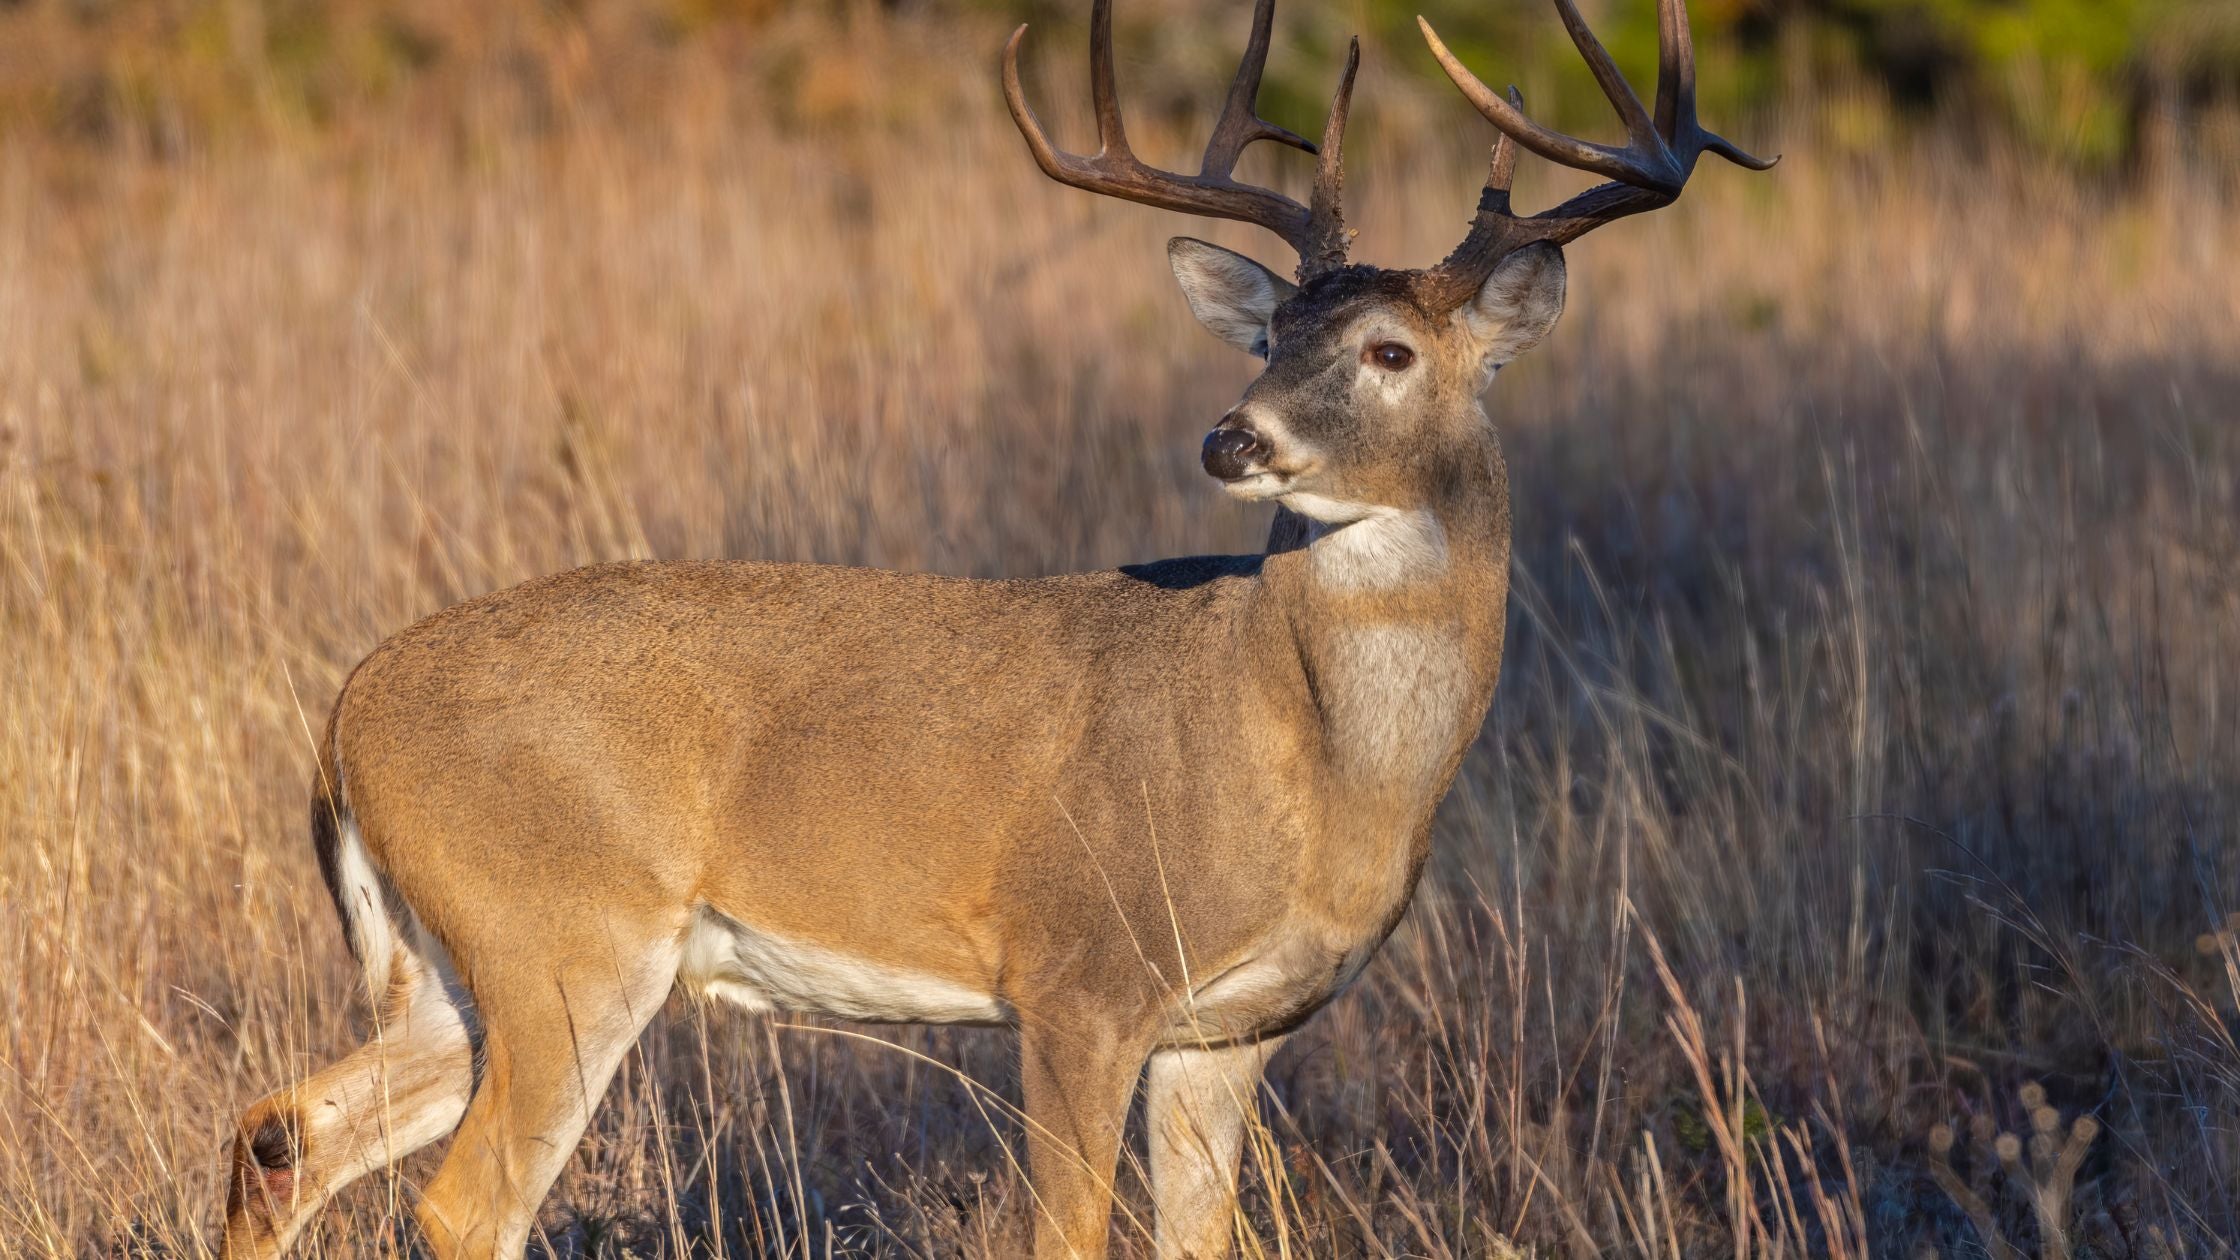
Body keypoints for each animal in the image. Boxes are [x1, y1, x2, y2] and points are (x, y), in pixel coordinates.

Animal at [219, 1, 1771, 1256]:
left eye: (1388, 351)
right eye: (1269, 339)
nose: (1231, 436)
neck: (1308, 760)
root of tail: (346, 715)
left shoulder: (1229, 1032)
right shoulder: (1079, 974)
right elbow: (1065, 1236)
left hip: (452, 967)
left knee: (282, 1130)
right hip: (564, 933)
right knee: (456, 1204)